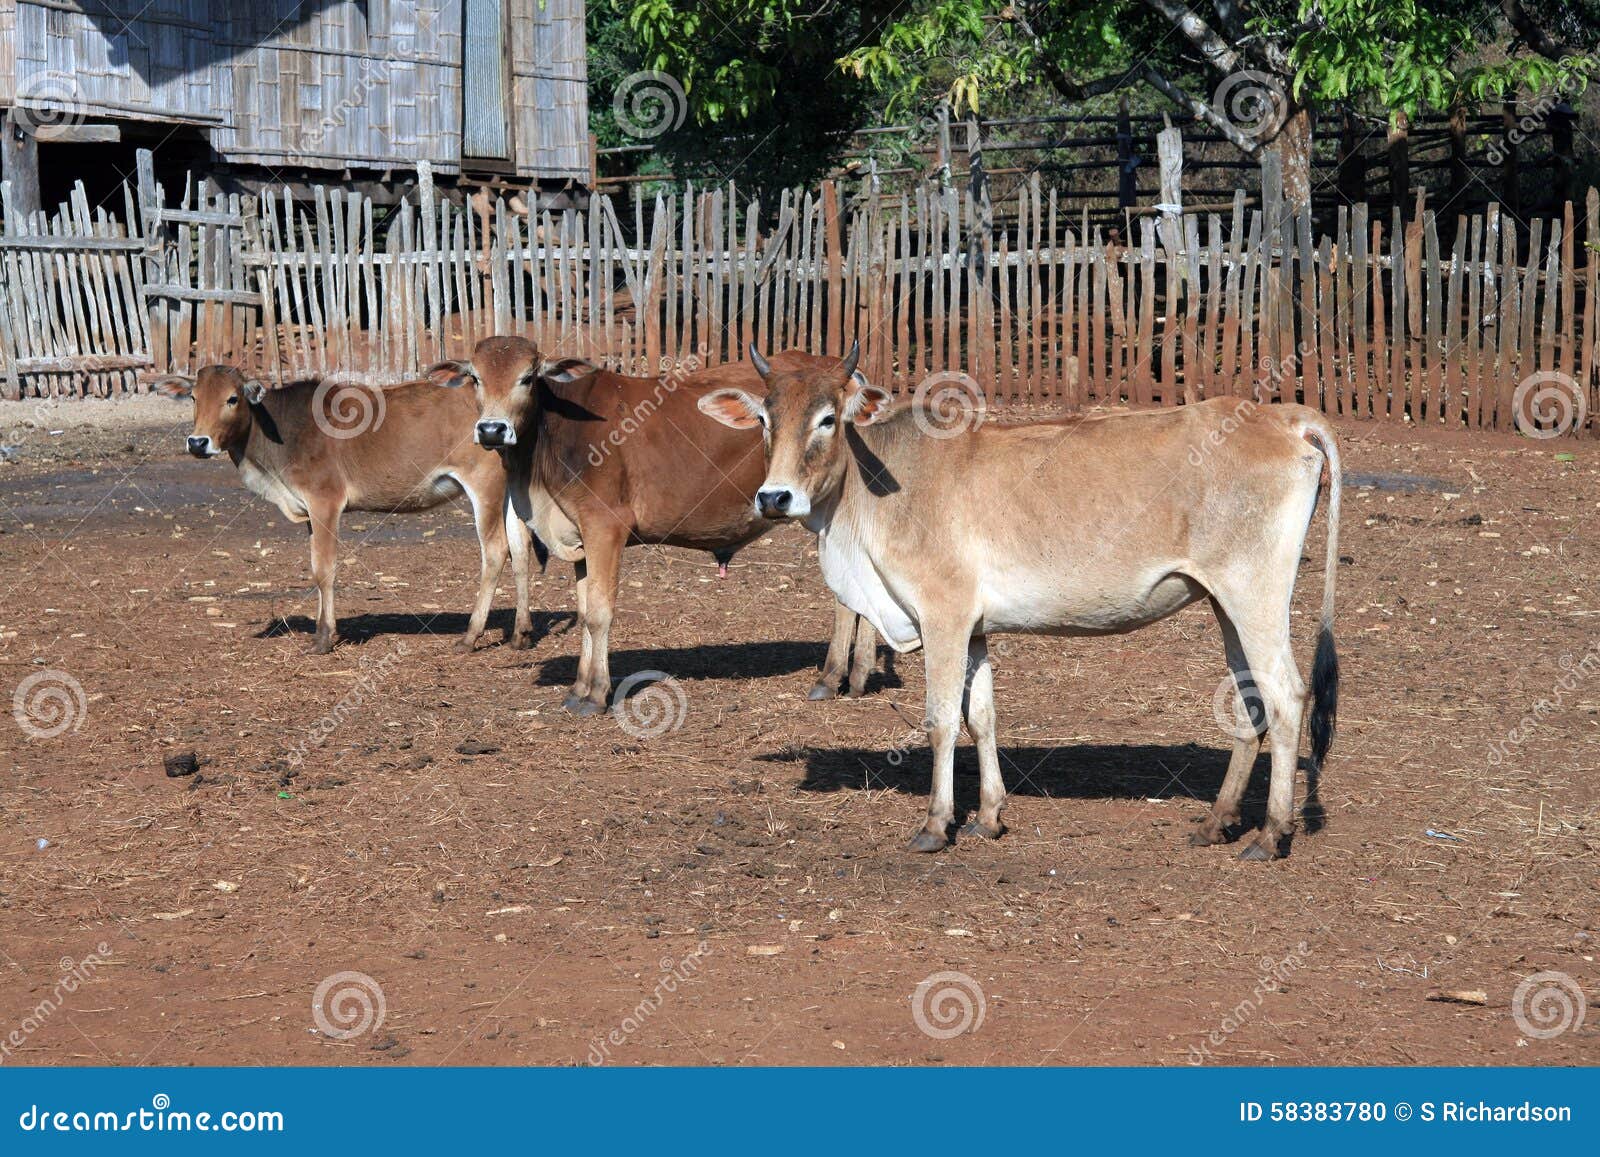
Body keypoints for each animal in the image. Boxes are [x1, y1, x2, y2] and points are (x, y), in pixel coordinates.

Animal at [156, 365, 533, 655]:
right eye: (193, 397)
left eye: (232, 398)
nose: (197, 442)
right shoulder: (310, 510)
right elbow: (314, 567)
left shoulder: (325, 502)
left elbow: (324, 570)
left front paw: (324, 639)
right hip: (509, 492)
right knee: (520, 548)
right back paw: (521, 634)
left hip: (484, 487)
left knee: (495, 551)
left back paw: (470, 636)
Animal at [425, 336, 878, 714]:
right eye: (475, 378)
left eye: (527, 377)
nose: (492, 429)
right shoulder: (581, 538)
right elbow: (584, 609)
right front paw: (578, 688)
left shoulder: (605, 527)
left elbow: (600, 612)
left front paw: (596, 694)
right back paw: (853, 676)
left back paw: (833, 676)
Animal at [699, 343, 1341, 860]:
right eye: (764, 419)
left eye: (828, 419)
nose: (775, 497)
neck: (876, 487)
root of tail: (1283, 416)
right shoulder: (976, 628)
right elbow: (981, 717)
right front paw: (987, 818)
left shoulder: (944, 616)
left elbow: (941, 720)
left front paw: (935, 824)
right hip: (1224, 602)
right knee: (1250, 702)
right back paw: (1216, 822)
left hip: (1253, 593)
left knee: (1286, 696)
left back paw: (1270, 835)